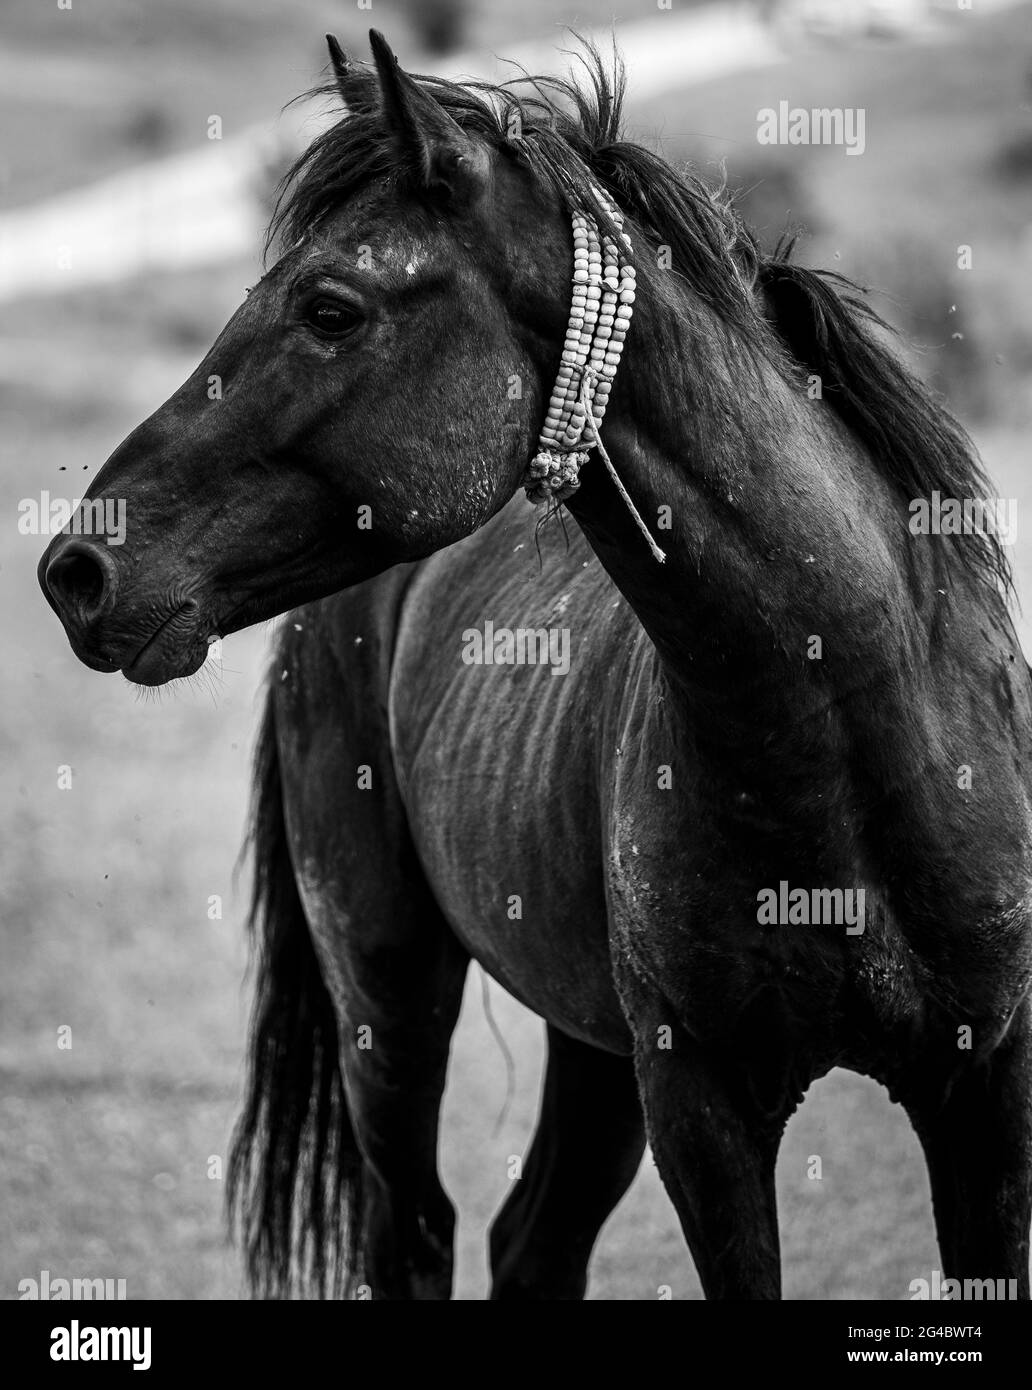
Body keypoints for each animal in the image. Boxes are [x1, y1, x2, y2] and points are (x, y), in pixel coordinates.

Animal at [38, 31, 1032, 1300]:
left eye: (329, 308)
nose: (78, 569)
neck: (857, 723)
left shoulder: (985, 1086)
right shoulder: (703, 1104)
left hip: (590, 1045)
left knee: (532, 1239)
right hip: (394, 1000)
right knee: (420, 1229)